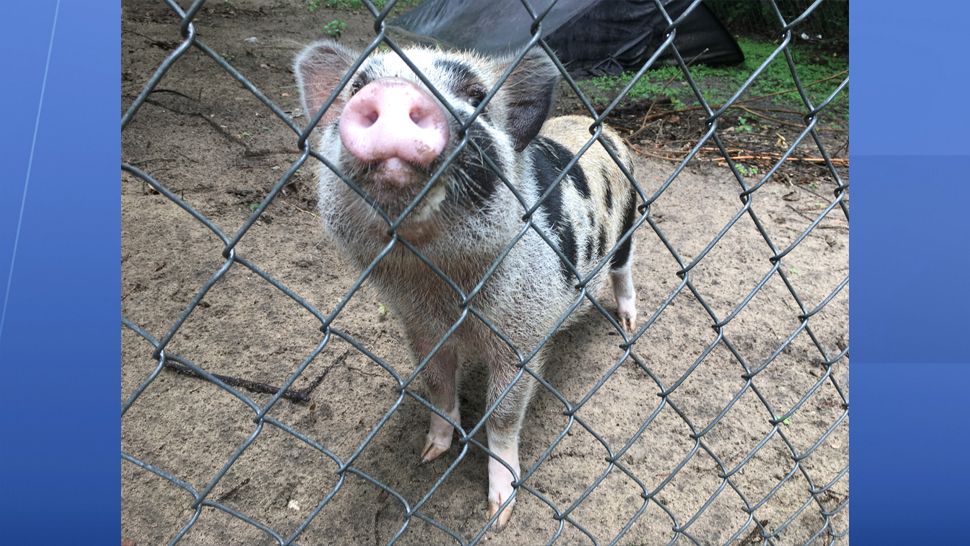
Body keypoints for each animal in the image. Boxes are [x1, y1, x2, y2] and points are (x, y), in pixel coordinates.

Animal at [294, 40, 640, 530]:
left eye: (476, 97)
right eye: (357, 86)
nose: (393, 91)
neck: (441, 286)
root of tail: (605, 129)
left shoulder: (522, 337)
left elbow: (503, 416)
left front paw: (499, 514)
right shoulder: (418, 326)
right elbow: (437, 385)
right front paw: (430, 453)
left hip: (628, 220)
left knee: (624, 269)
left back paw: (628, 325)